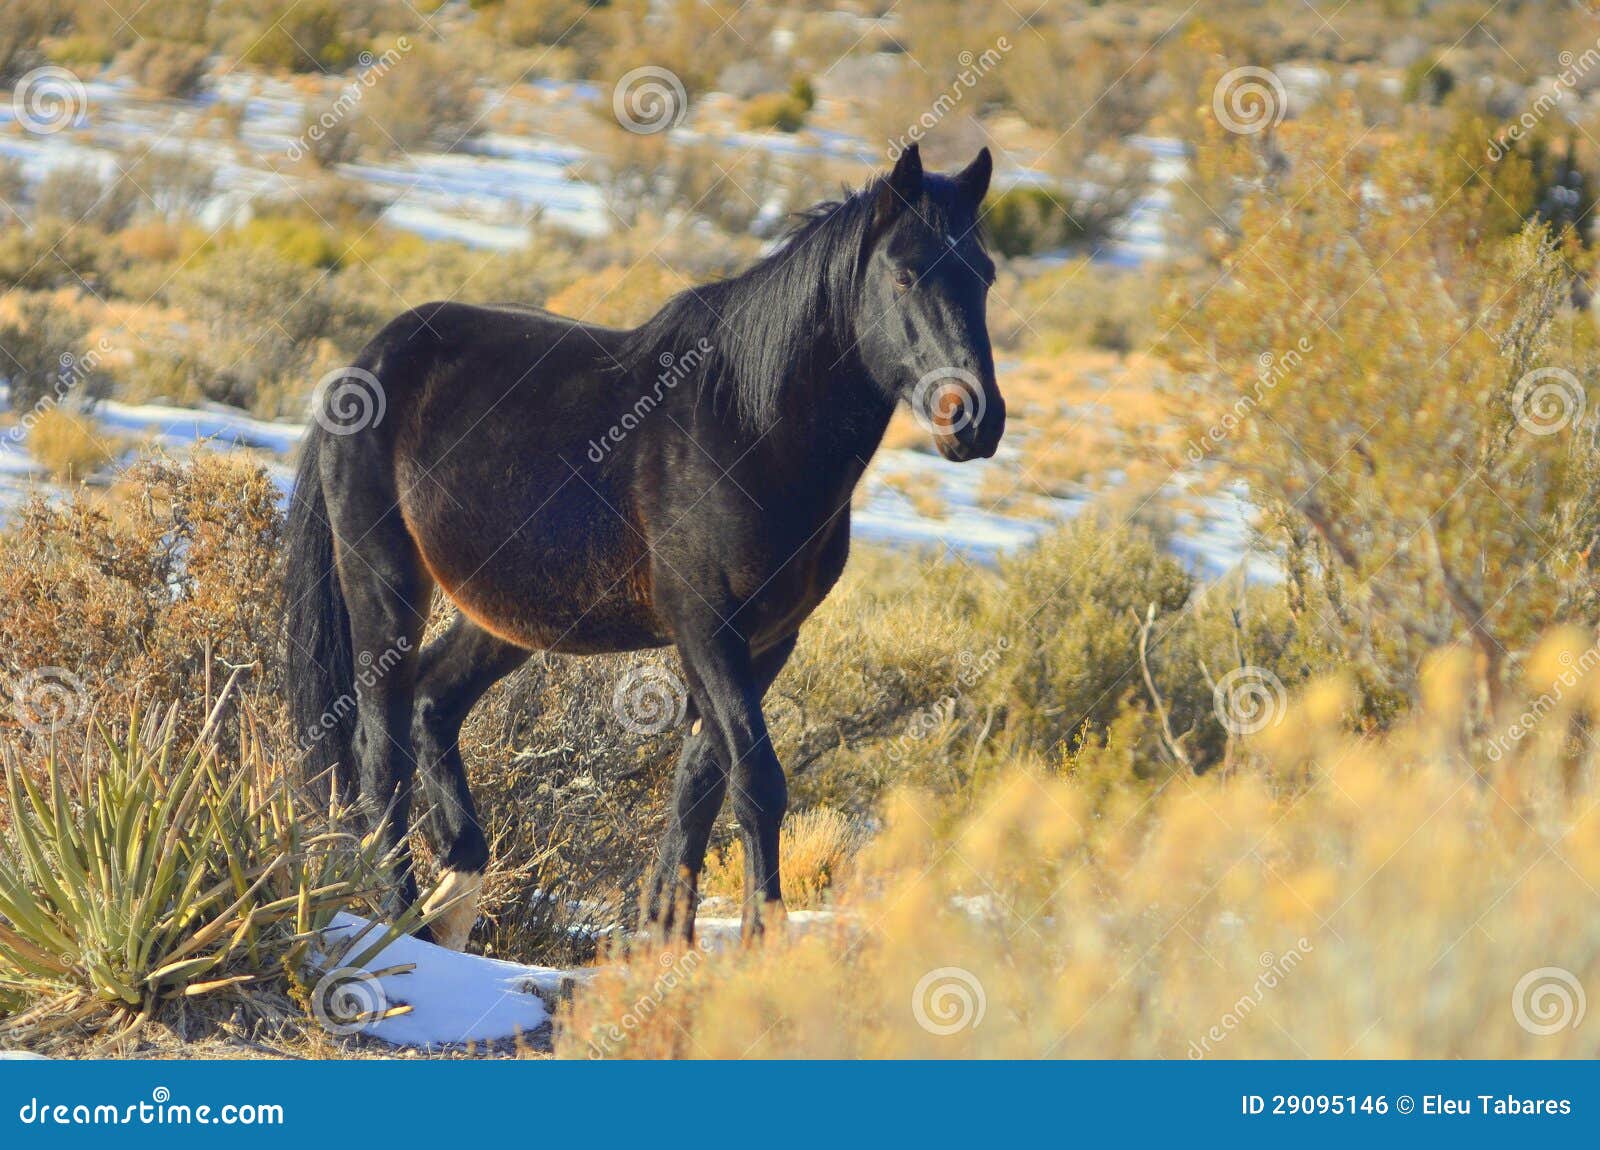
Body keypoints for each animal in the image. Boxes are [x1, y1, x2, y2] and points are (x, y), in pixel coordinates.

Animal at [282, 144, 1005, 949]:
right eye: (904, 273)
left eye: (984, 274)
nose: (974, 420)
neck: (750, 426)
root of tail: (367, 364)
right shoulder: (705, 627)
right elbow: (756, 781)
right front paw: (759, 945)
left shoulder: (769, 641)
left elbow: (699, 788)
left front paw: (666, 942)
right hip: (385, 585)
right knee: (382, 754)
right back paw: (400, 918)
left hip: (508, 616)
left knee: (435, 704)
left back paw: (454, 892)